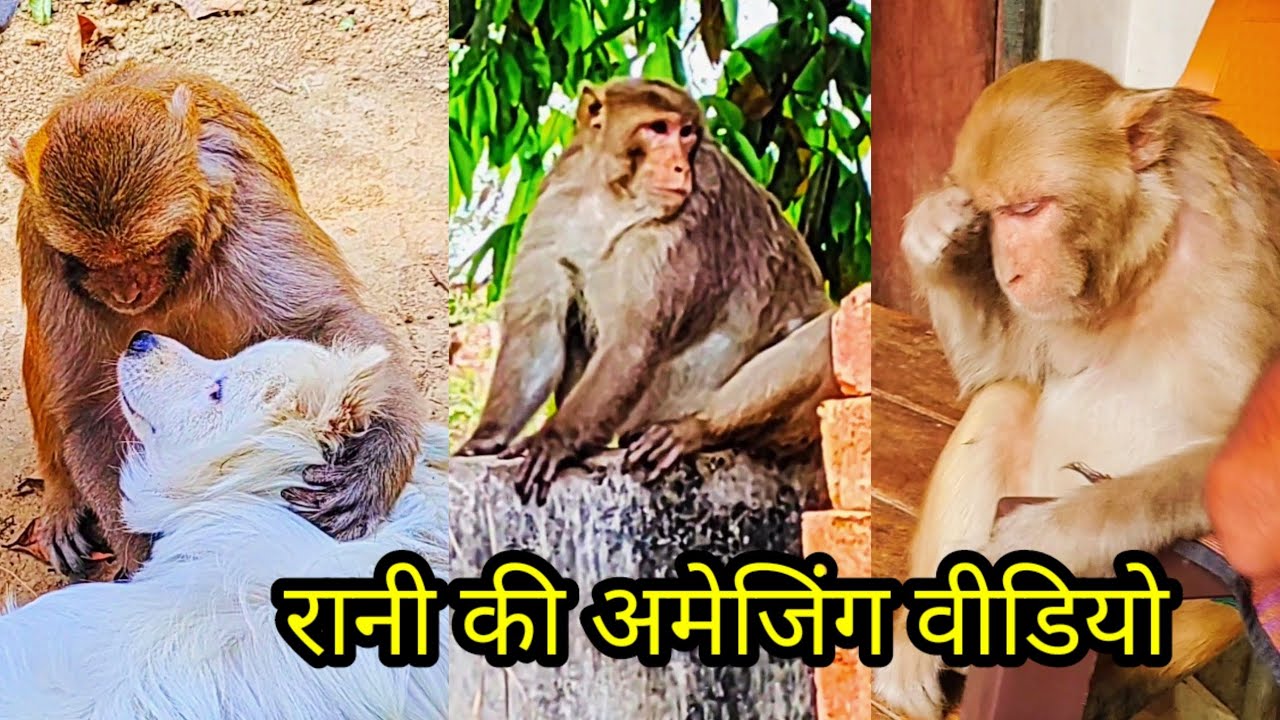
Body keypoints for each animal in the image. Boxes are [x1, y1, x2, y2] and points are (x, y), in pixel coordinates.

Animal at [6, 62, 426, 578]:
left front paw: (379, 455)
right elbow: (88, 406)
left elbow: (323, 320)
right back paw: (62, 497)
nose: (128, 293)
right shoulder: (43, 250)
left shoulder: (243, 210)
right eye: (94, 262)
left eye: (148, 250)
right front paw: (143, 551)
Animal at [454, 77, 839, 505]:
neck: (612, 195)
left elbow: (631, 343)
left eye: (686, 133)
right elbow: (537, 335)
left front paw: (553, 442)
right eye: (658, 128)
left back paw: (692, 430)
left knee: (835, 330)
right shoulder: (555, 201)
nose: (679, 166)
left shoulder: (692, 208)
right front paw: (486, 438)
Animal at [872, 59, 1280, 719]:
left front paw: (1046, 540)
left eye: (1029, 210)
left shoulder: (1241, 254)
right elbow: (1007, 366)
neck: (1148, 250)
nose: (1009, 272)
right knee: (1004, 400)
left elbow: (1243, 476)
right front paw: (933, 232)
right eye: (993, 215)